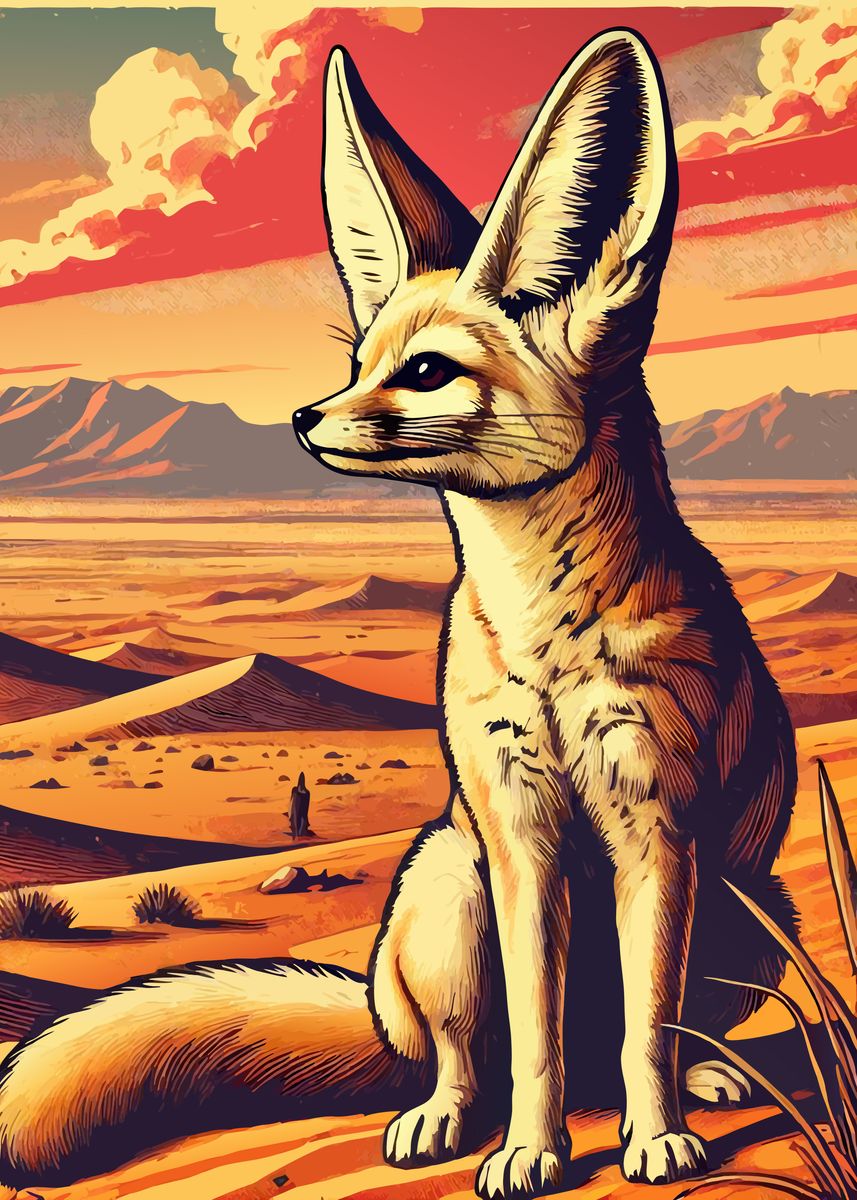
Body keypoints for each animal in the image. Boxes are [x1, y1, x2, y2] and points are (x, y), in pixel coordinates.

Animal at [0, 30, 797, 1200]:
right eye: (359, 361)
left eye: (424, 372)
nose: (300, 416)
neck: (543, 636)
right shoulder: (514, 832)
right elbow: (537, 1039)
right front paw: (529, 1152)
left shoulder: (655, 825)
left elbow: (646, 1027)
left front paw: (653, 1140)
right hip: (447, 888)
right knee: (475, 1054)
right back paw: (446, 1120)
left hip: (750, 911)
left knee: (657, 1028)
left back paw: (704, 1082)